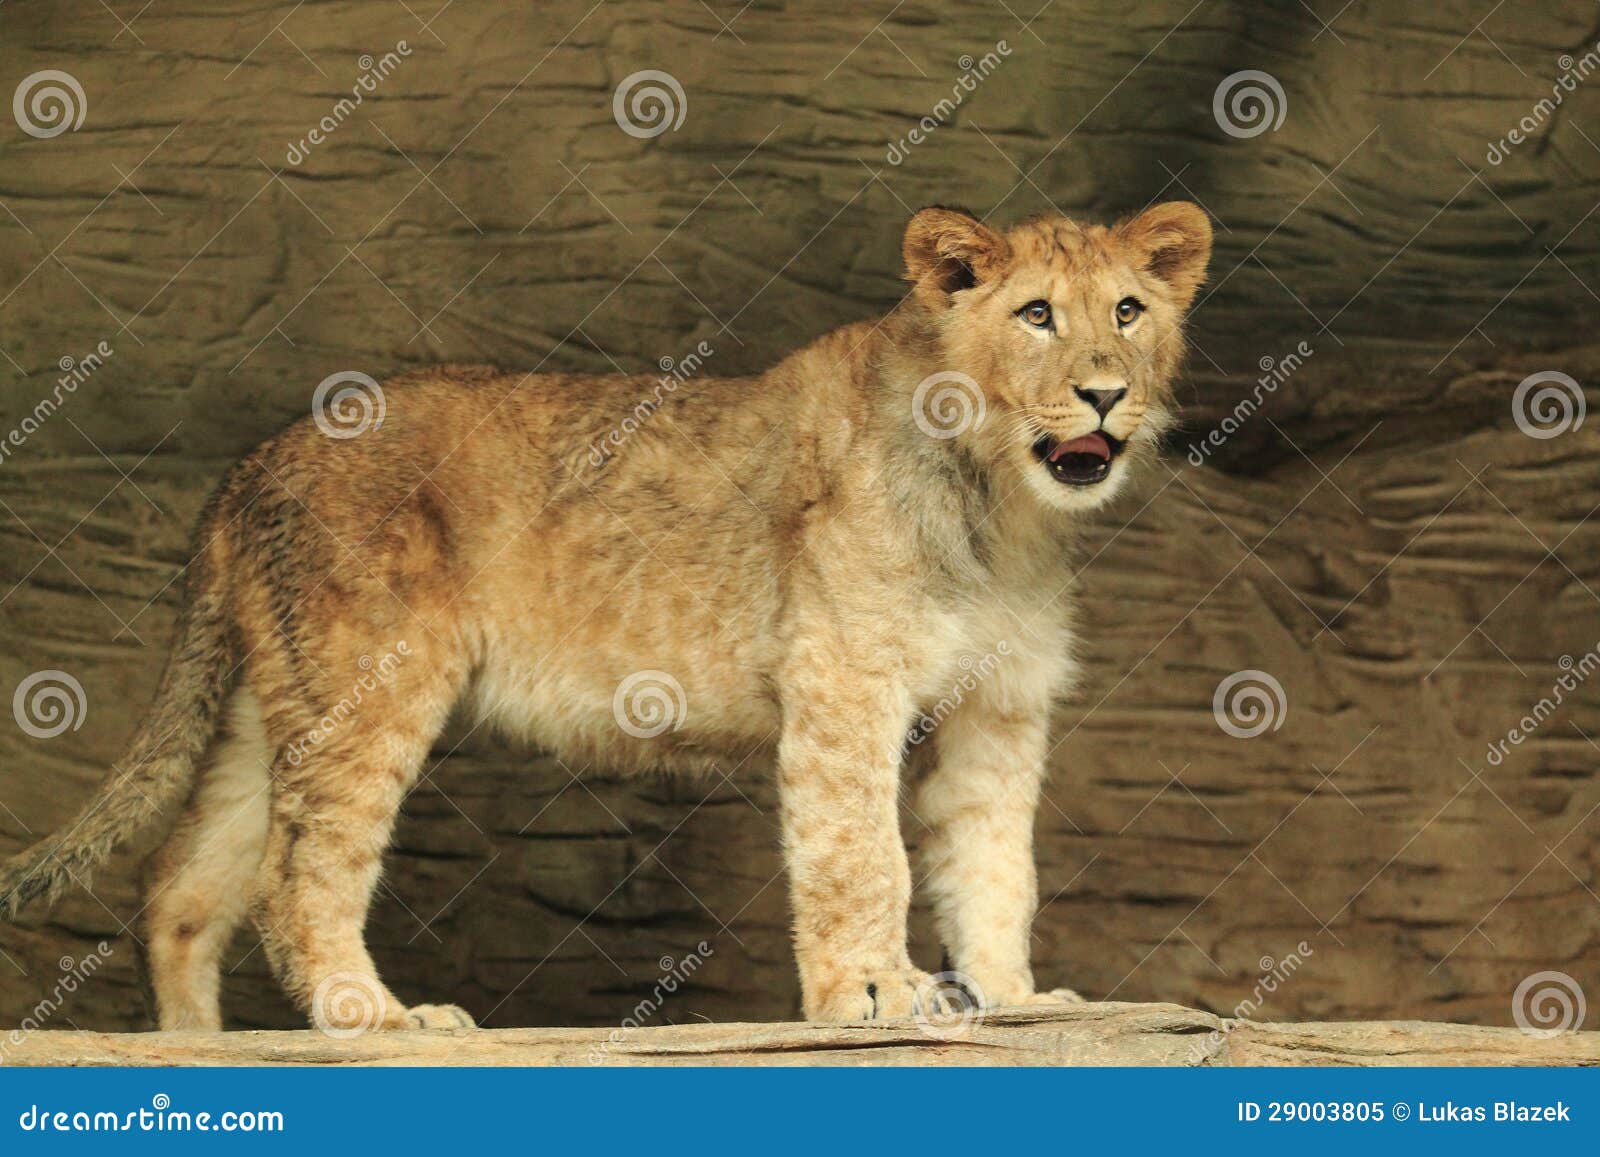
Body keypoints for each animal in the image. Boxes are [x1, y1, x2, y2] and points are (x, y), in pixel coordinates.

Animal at [0, 202, 1211, 1031]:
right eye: (1036, 315)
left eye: (1129, 312)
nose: (1105, 392)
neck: (1003, 508)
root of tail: (254, 462)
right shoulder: (843, 682)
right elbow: (863, 852)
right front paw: (874, 992)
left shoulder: (997, 708)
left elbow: (995, 865)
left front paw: (1016, 999)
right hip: (371, 681)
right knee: (296, 873)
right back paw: (379, 1018)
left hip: (279, 696)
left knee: (184, 883)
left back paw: (197, 1043)